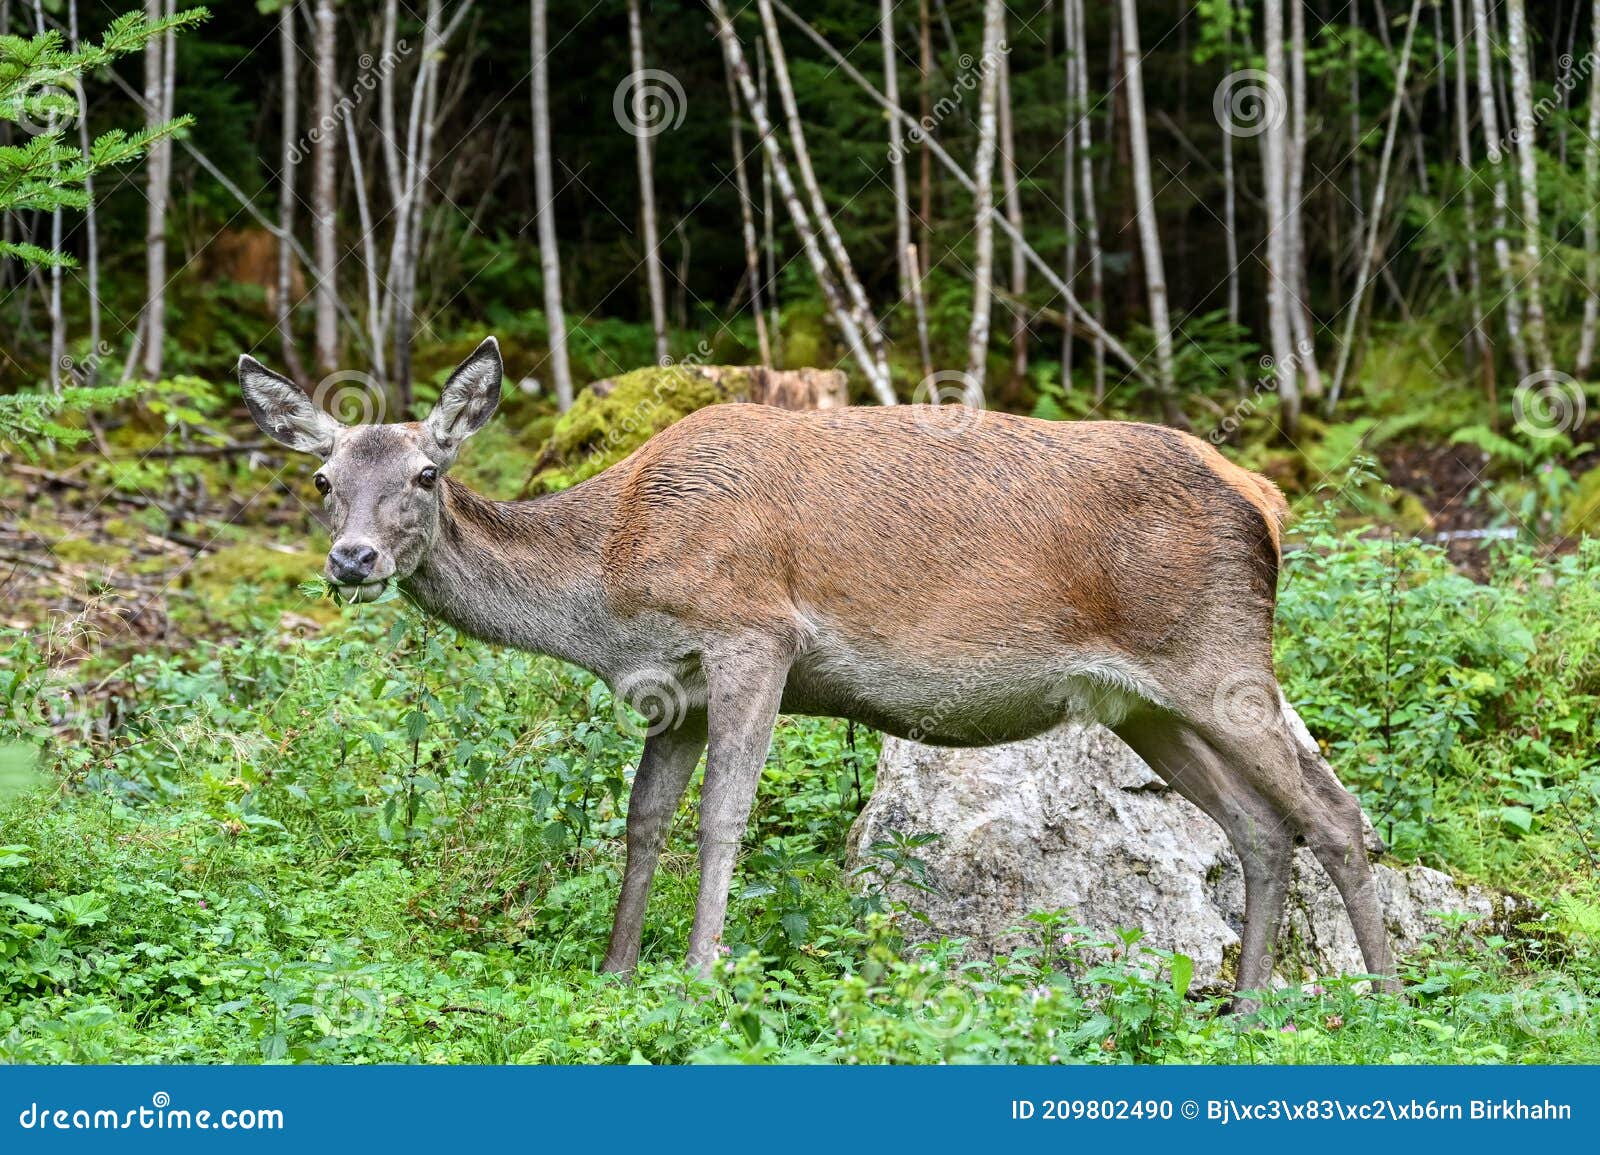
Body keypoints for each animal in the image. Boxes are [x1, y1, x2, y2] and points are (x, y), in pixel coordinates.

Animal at [237, 337, 1397, 1004]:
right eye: (322, 477)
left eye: (426, 474)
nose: (355, 560)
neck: (611, 578)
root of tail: (1263, 495)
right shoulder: (672, 694)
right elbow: (643, 821)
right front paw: (615, 972)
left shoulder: (754, 633)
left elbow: (722, 817)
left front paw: (699, 977)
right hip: (1144, 703)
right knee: (1262, 825)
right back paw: (1247, 1008)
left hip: (1218, 651)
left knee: (1338, 815)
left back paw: (1384, 1007)